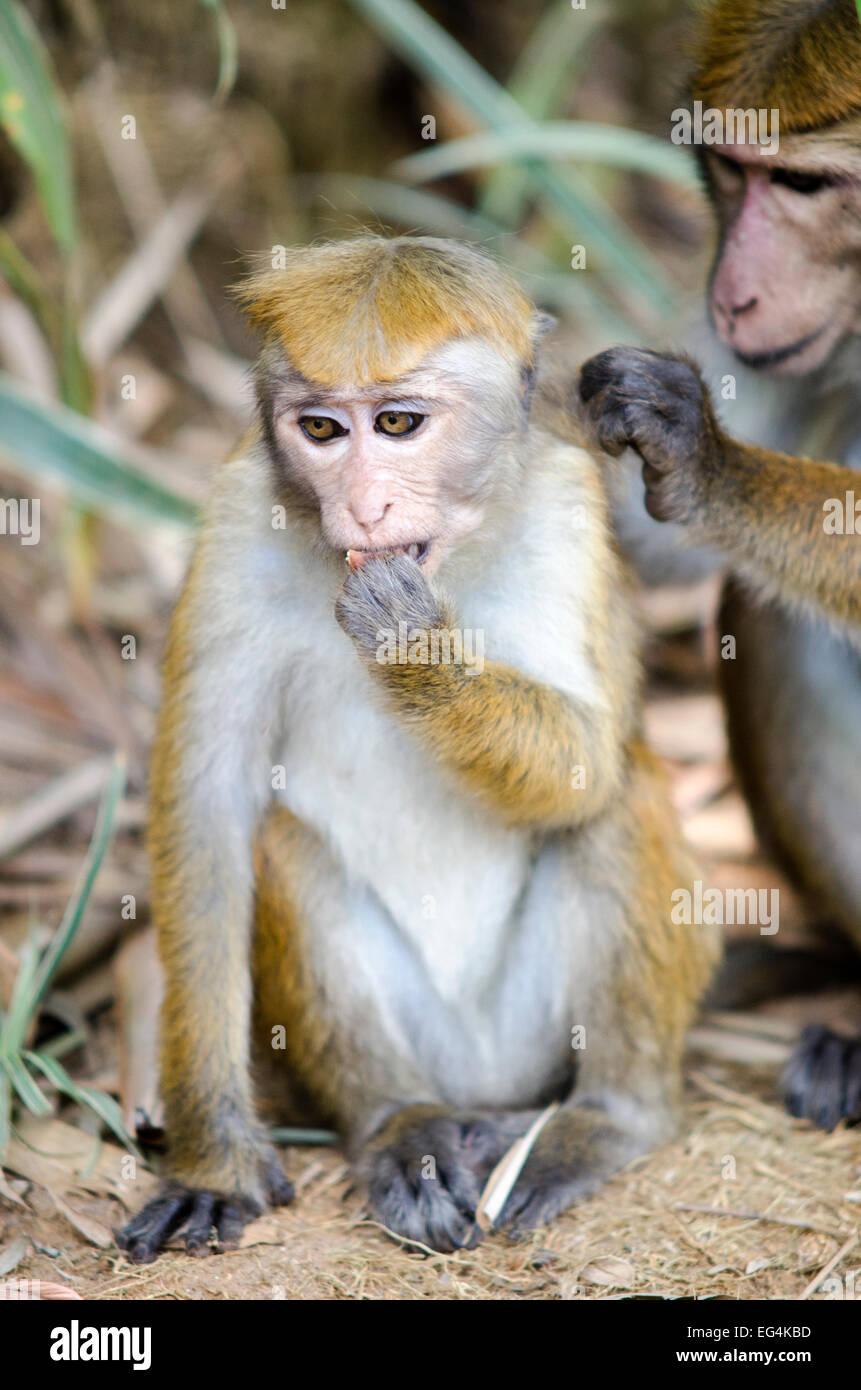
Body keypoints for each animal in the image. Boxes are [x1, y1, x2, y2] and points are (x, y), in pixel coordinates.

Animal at [115, 234, 718, 1261]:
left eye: (397, 423)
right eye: (321, 430)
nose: (363, 507)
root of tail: (475, 1078)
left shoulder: (565, 510)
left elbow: (585, 768)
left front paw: (412, 650)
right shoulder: (237, 520)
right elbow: (208, 815)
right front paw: (213, 1163)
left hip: (526, 1034)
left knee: (615, 800)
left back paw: (606, 1118)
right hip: (433, 1039)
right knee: (278, 843)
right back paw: (401, 1126)